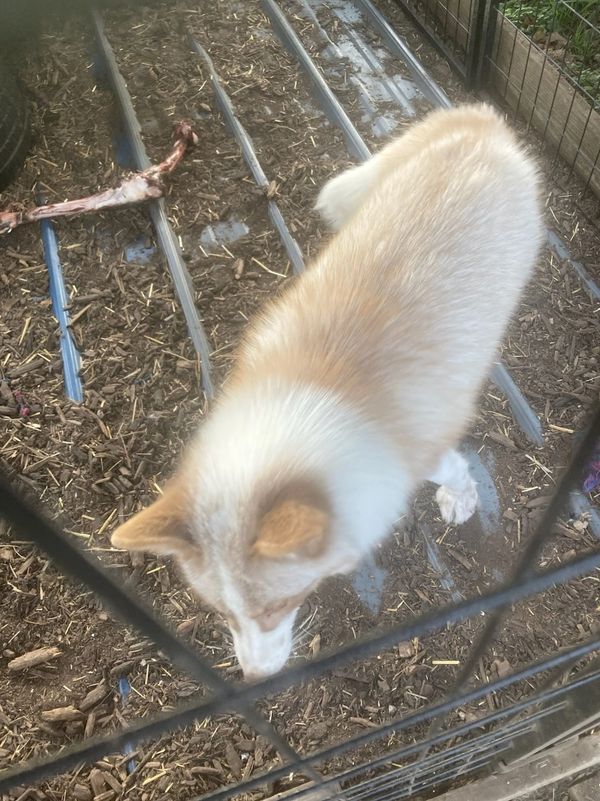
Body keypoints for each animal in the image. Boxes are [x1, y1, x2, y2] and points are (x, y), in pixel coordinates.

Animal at [111, 104, 543, 681]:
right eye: (222, 613)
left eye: (279, 606)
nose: (256, 679)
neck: (311, 399)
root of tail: (479, 120)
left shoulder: (421, 449)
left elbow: (455, 471)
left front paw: (461, 500)